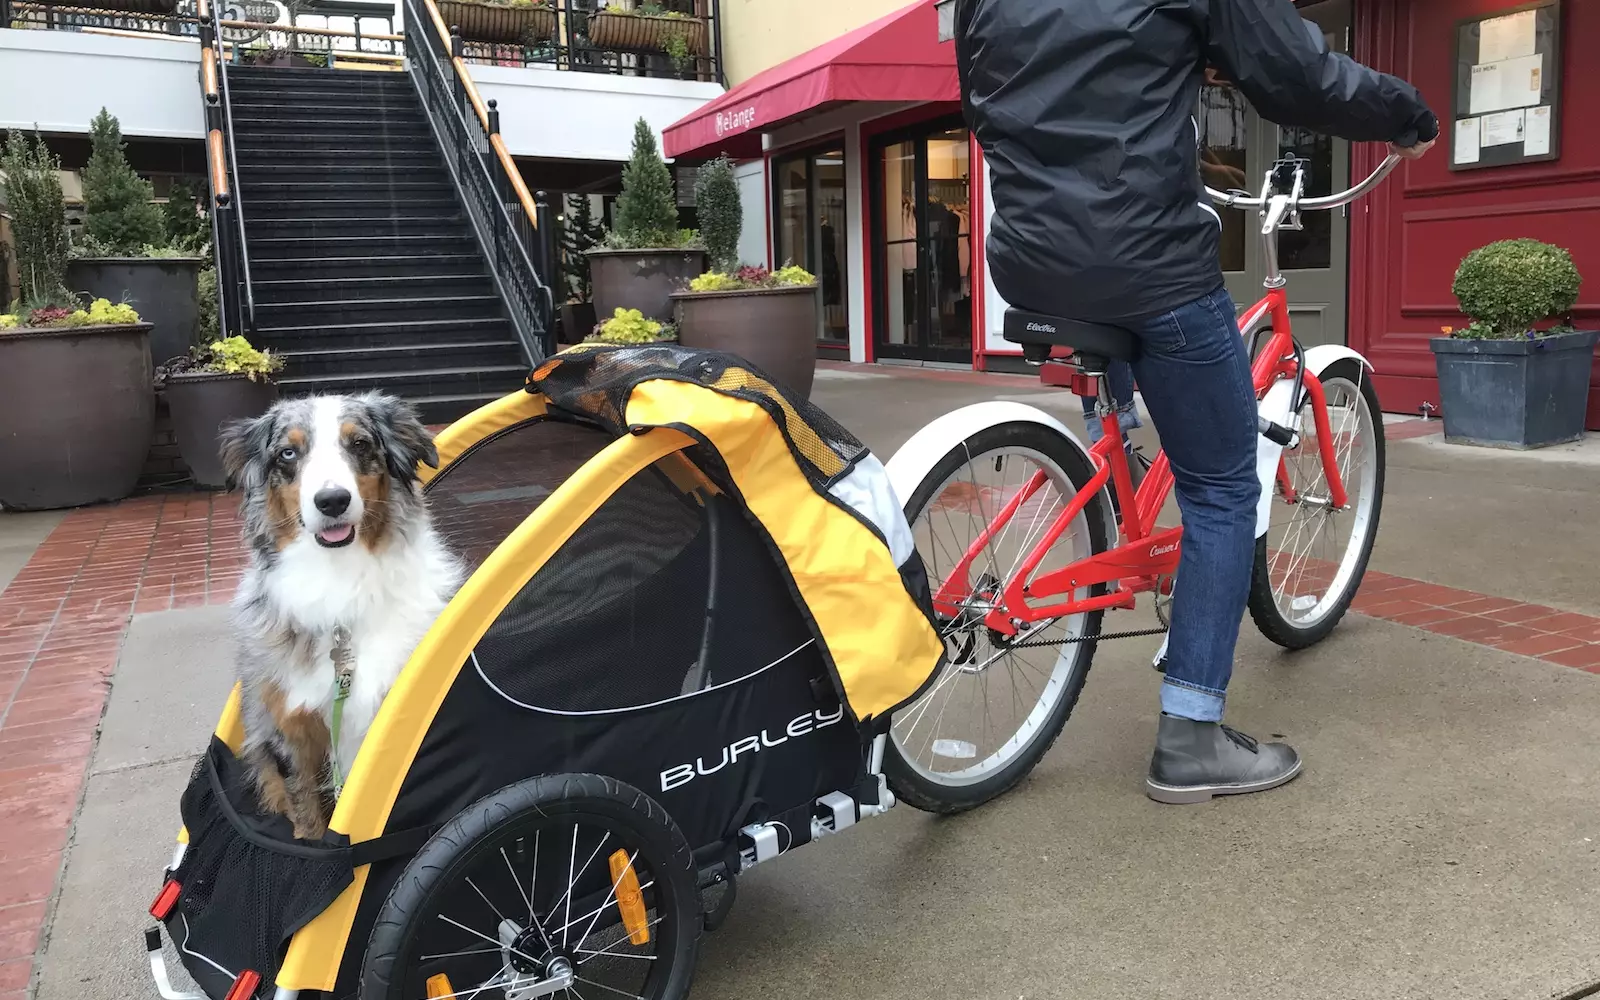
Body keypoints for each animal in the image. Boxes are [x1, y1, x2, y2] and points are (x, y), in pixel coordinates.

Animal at [216, 393, 464, 838]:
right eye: (288, 452)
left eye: (360, 444)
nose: (332, 501)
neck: (340, 575)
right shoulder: (289, 733)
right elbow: (307, 816)